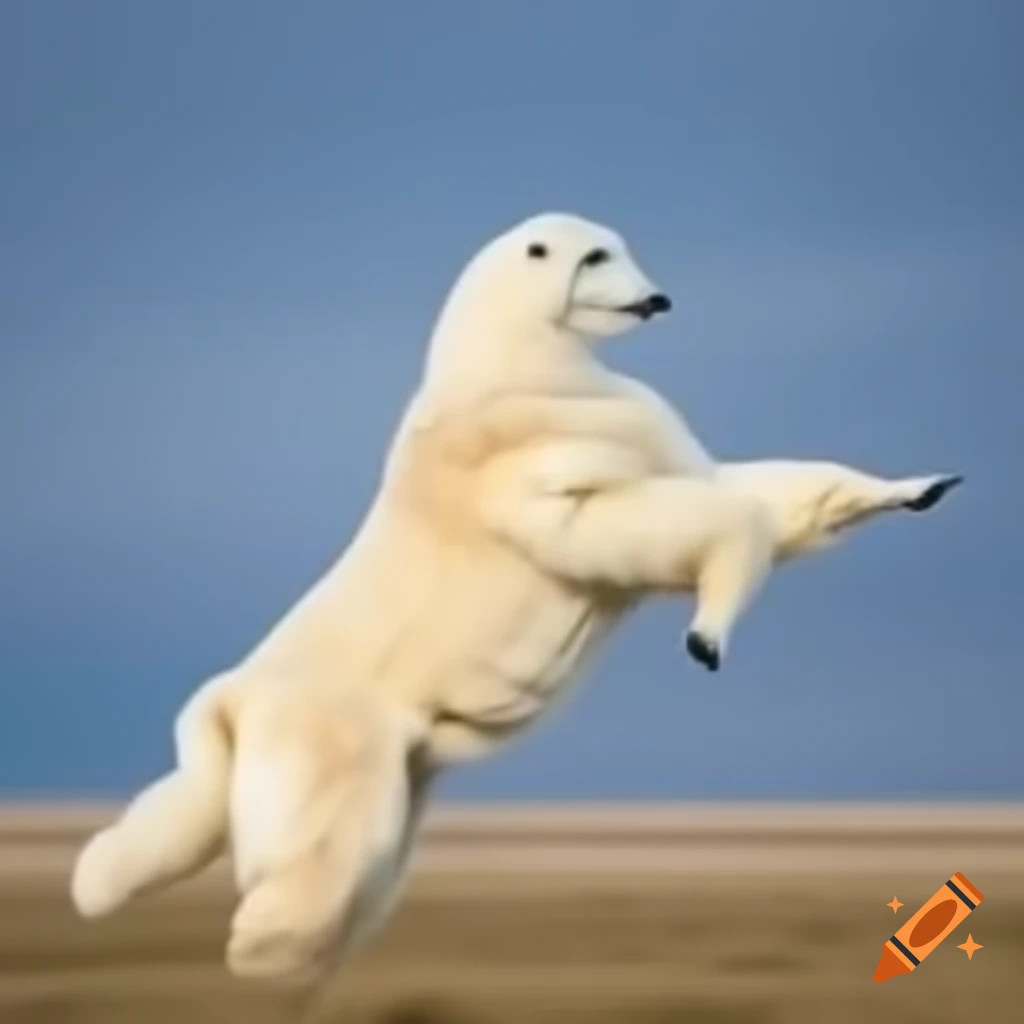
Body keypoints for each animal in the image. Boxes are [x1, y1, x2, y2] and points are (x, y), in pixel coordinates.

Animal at [69, 212, 962, 985]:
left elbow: (743, 486)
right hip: (334, 731)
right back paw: (269, 953)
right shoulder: (529, 451)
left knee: (203, 816)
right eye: (595, 257)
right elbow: (649, 518)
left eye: (620, 248)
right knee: (320, 841)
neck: (513, 363)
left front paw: (925, 485)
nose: (658, 298)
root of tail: (234, 694)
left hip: (376, 755)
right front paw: (706, 634)